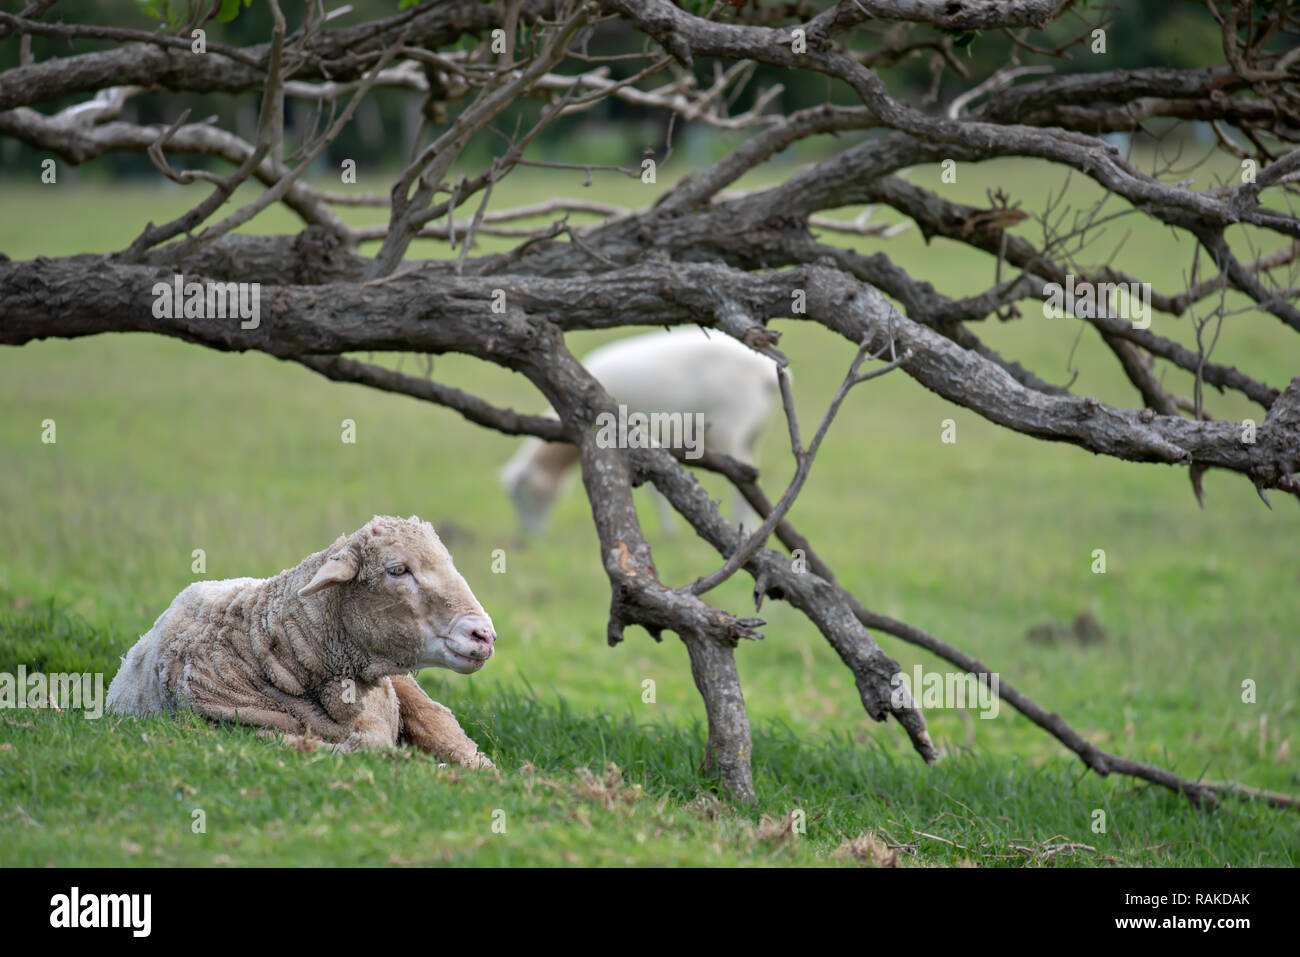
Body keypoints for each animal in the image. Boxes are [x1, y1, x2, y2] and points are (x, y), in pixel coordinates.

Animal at [501, 327, 781, 533]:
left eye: (522, 494)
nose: (526, 540)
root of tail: (766, 375)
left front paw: (668, 531)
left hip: (729, 428)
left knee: (741, 482)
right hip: (751, 433)